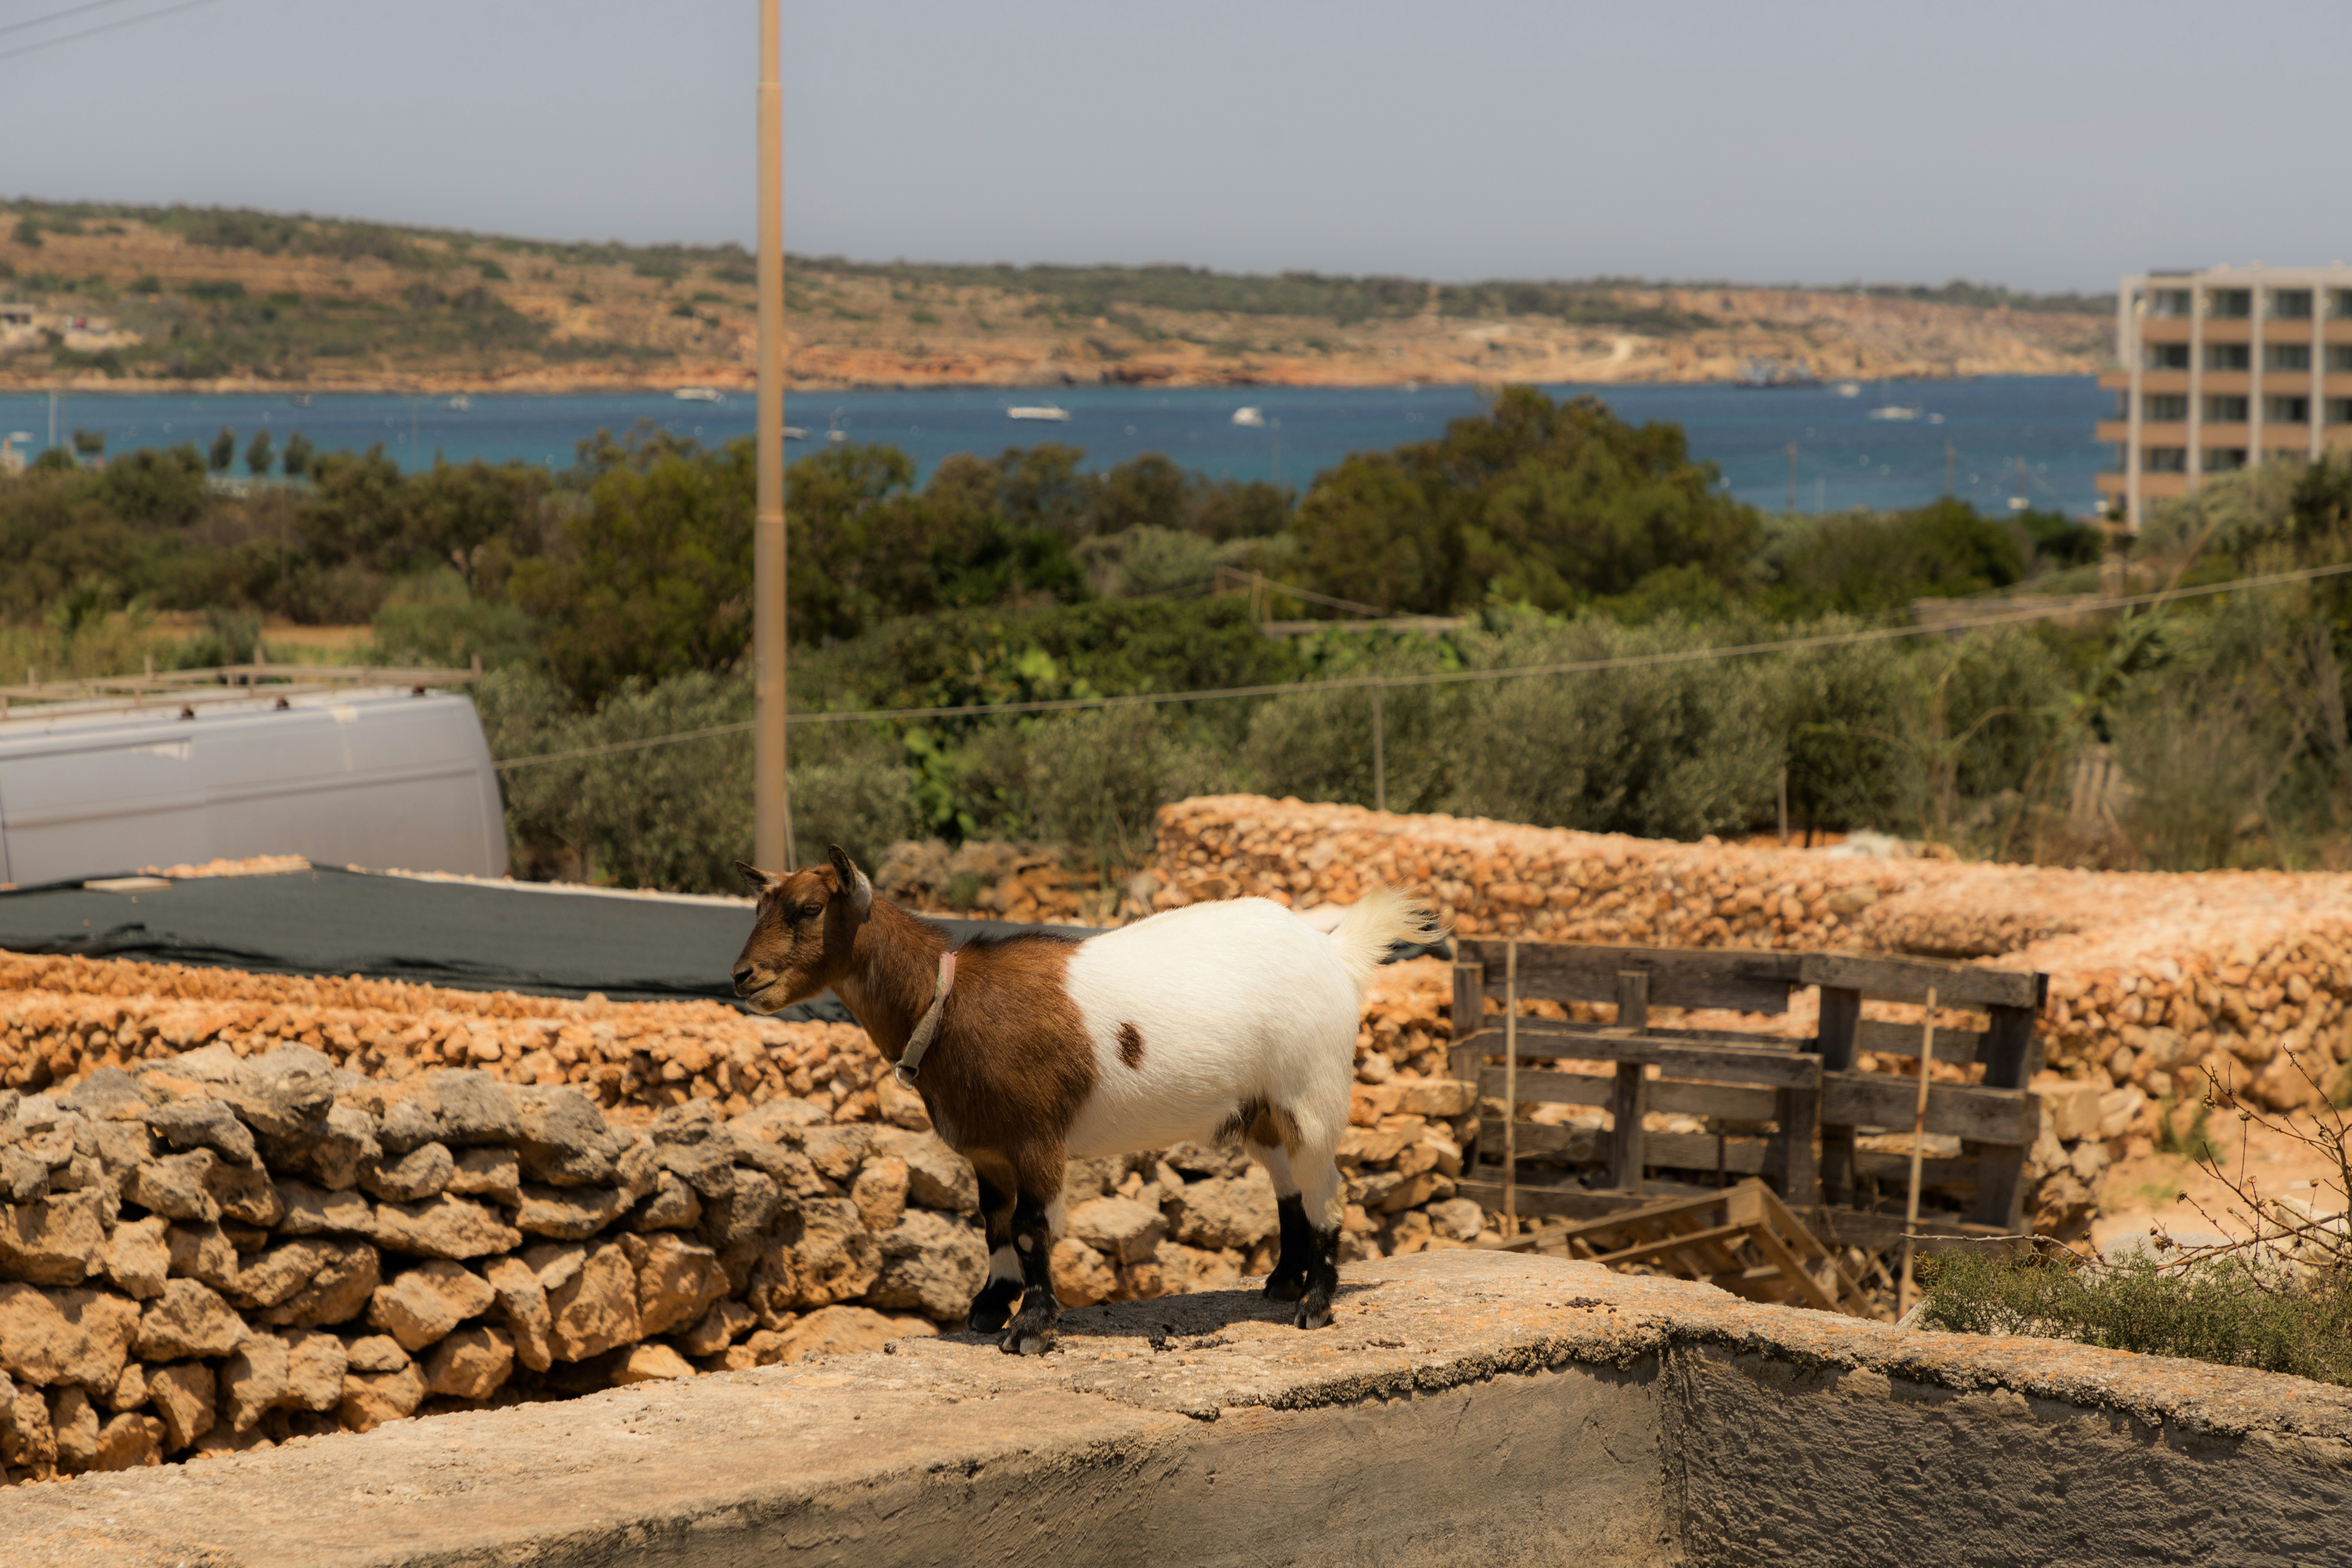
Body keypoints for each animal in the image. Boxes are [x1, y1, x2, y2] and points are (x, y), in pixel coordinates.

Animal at [730, 845, 1438, 1355]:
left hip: (1311, 1090)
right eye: (758, 907)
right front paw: (989, 1306)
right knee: (1287, 1184)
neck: (949, 999)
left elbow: (1030, 1226)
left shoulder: (1036, 1136)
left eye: (808, 908)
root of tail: (1334, 951)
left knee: (1327, 1189)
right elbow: (993, 1222)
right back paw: (1281, 1282)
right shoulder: (988, 1148)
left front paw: (1031, 1327)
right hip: (1260, 1108)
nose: (742, 976)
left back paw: (1315, 1303)